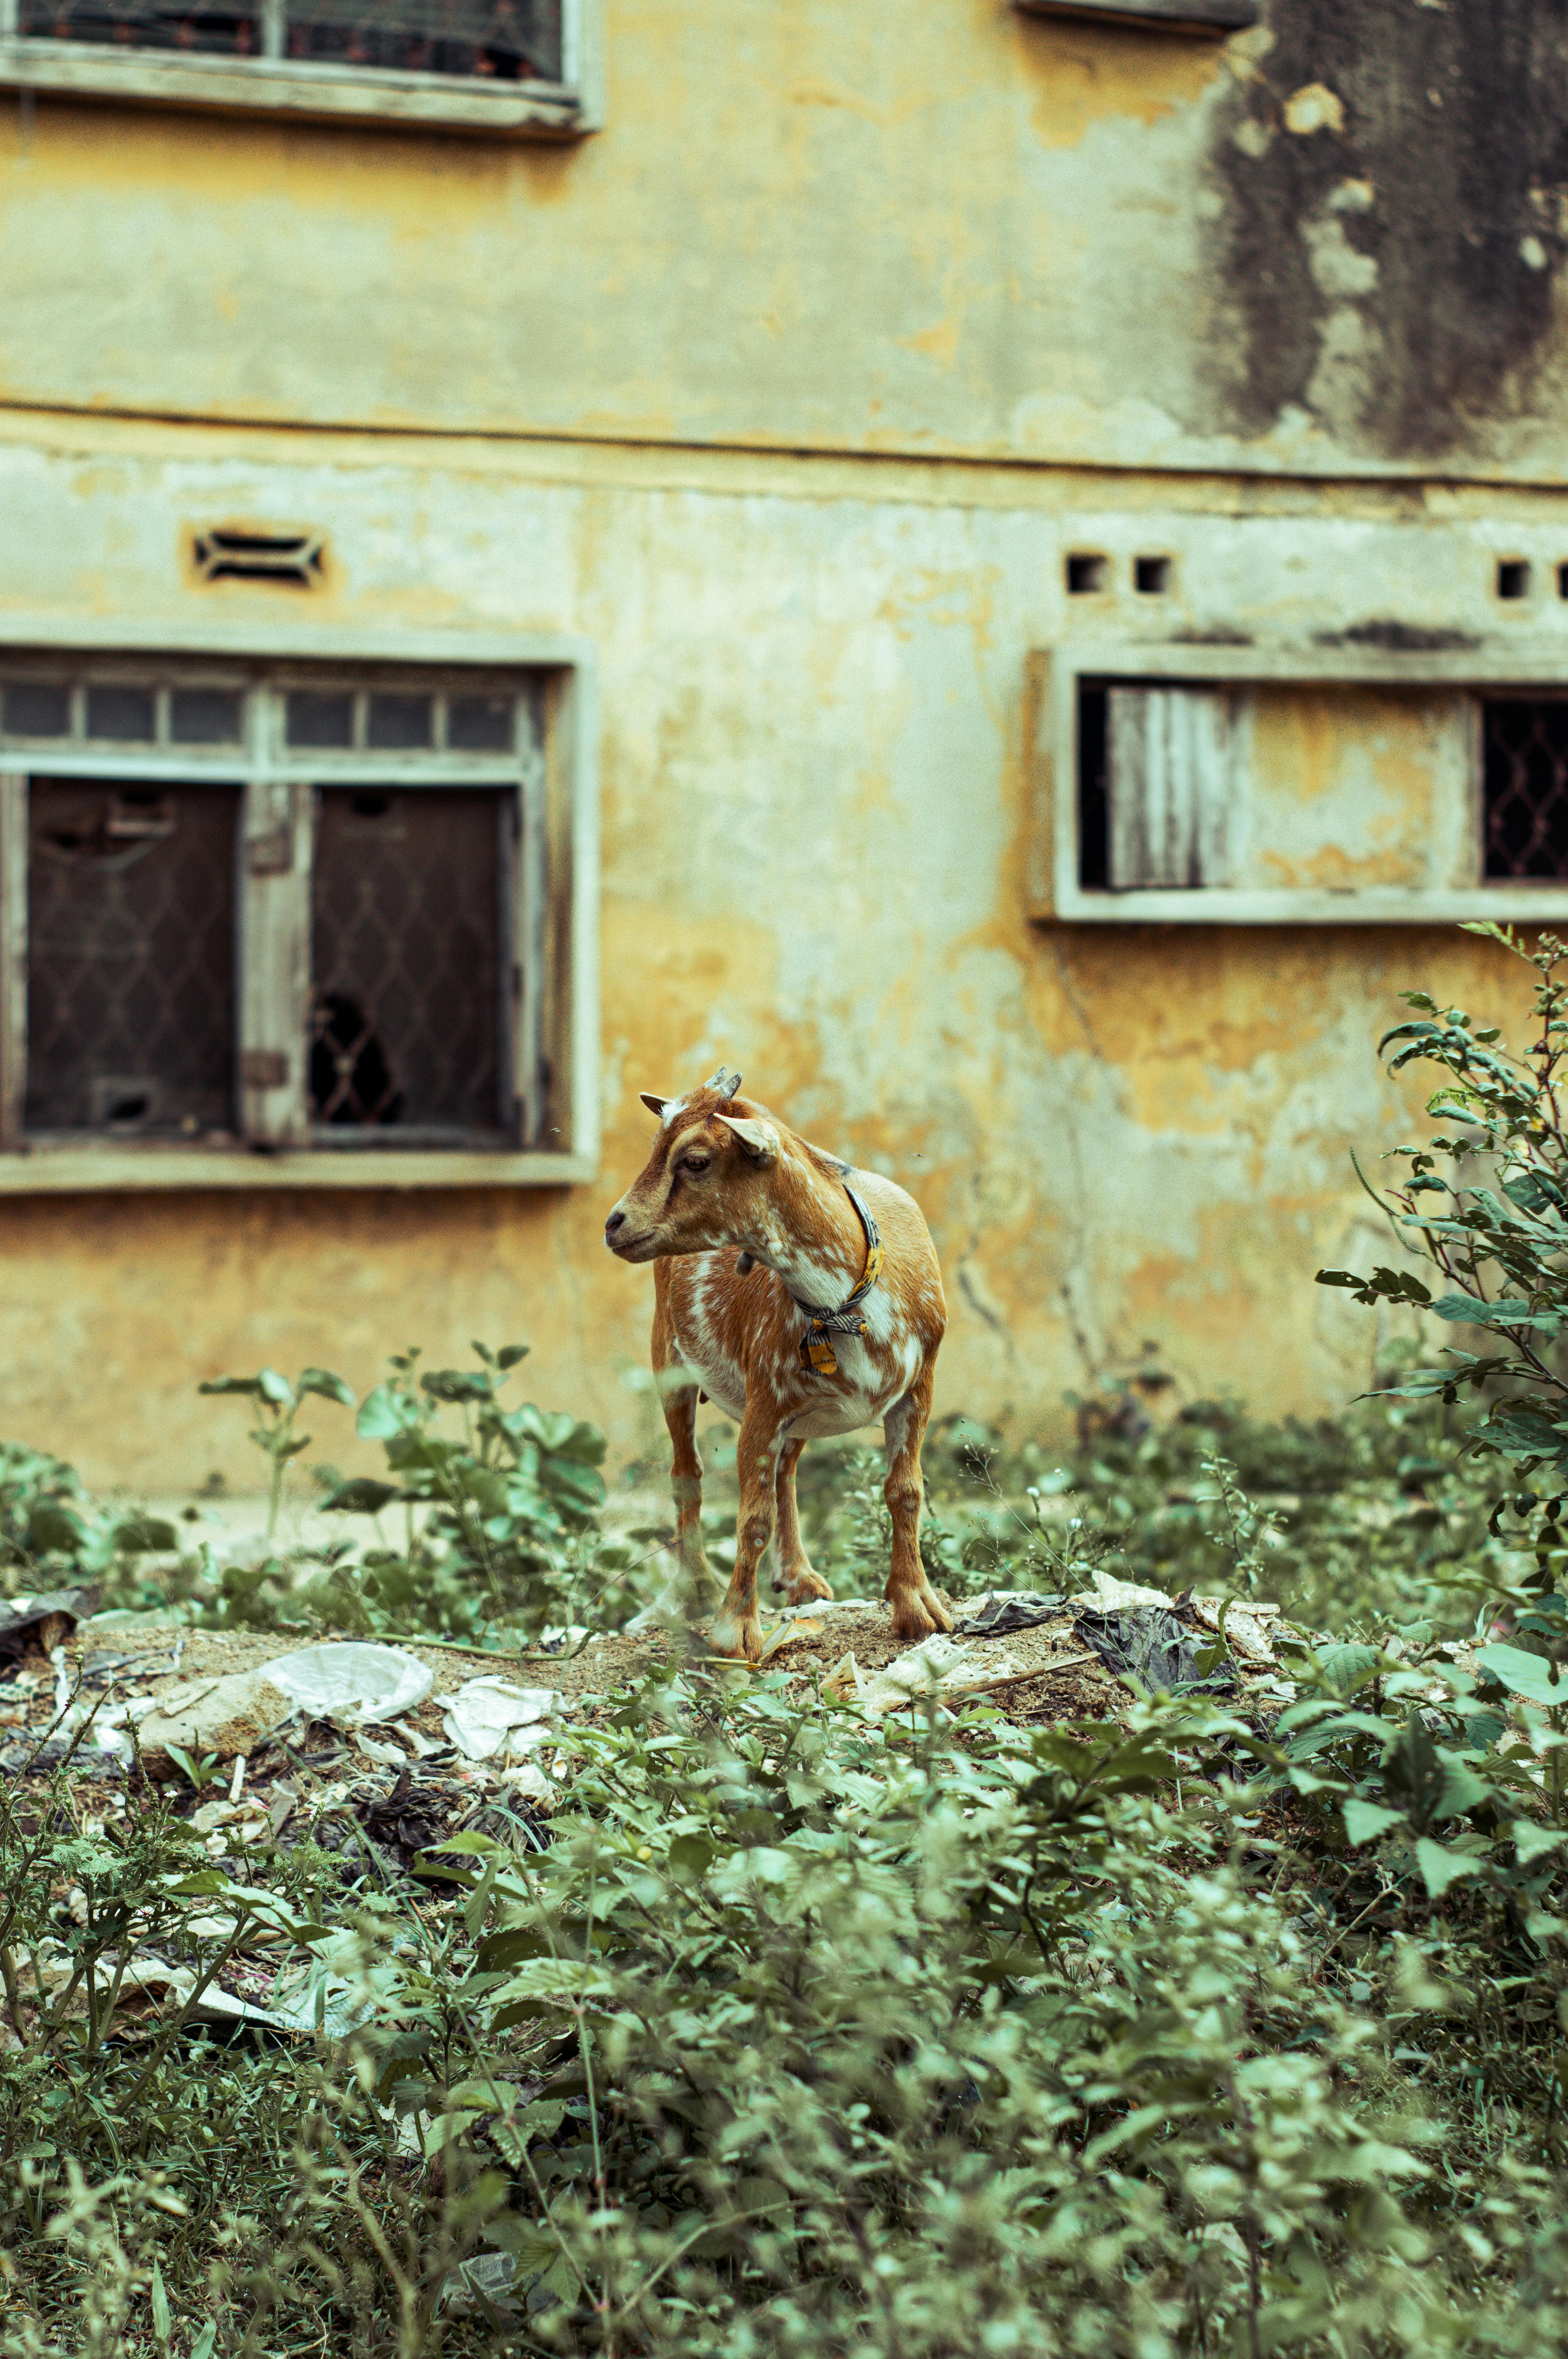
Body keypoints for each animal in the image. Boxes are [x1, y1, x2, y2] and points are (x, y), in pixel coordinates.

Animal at [604, 1067, 954, 1661]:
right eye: (656, 1143)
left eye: (695, 1160)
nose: (614, 1223)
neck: (851, 1301)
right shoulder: (763, 1399)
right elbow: (753, 1516)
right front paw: (735, 1630)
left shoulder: (918, 1387)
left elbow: (905, 1493)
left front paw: (918, 1608)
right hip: (668, 1359)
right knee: (687, 1474)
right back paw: (693, 1590)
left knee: (786, 1472)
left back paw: (798, 1577)